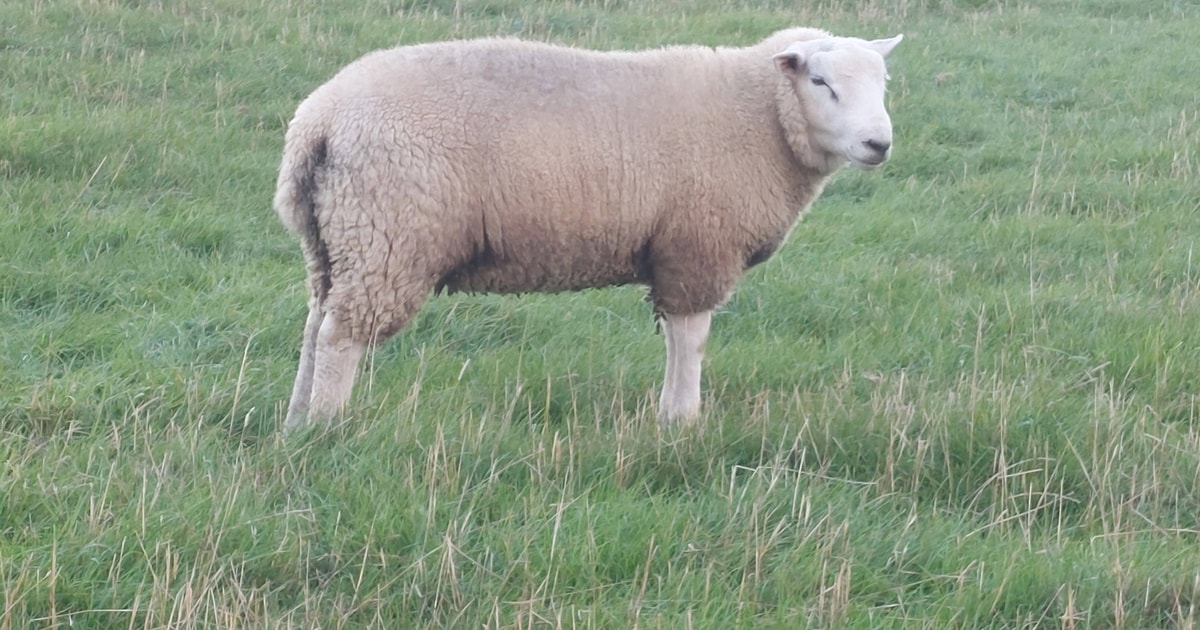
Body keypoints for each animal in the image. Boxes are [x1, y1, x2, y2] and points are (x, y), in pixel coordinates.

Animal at [275, 27, 902, 431]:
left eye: (884, 83)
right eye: (820, 82)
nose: (879, 143)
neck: (759, 115)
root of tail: (319, 120)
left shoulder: (674, 250)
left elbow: (676, 338)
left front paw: (671, 417)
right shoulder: (697, 246)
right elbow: (692, 340)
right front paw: (682, 421)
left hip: (336, 238)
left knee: (314, 326)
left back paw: (297, 421)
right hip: (390, 234)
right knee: (340, 337)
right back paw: (330, 427)